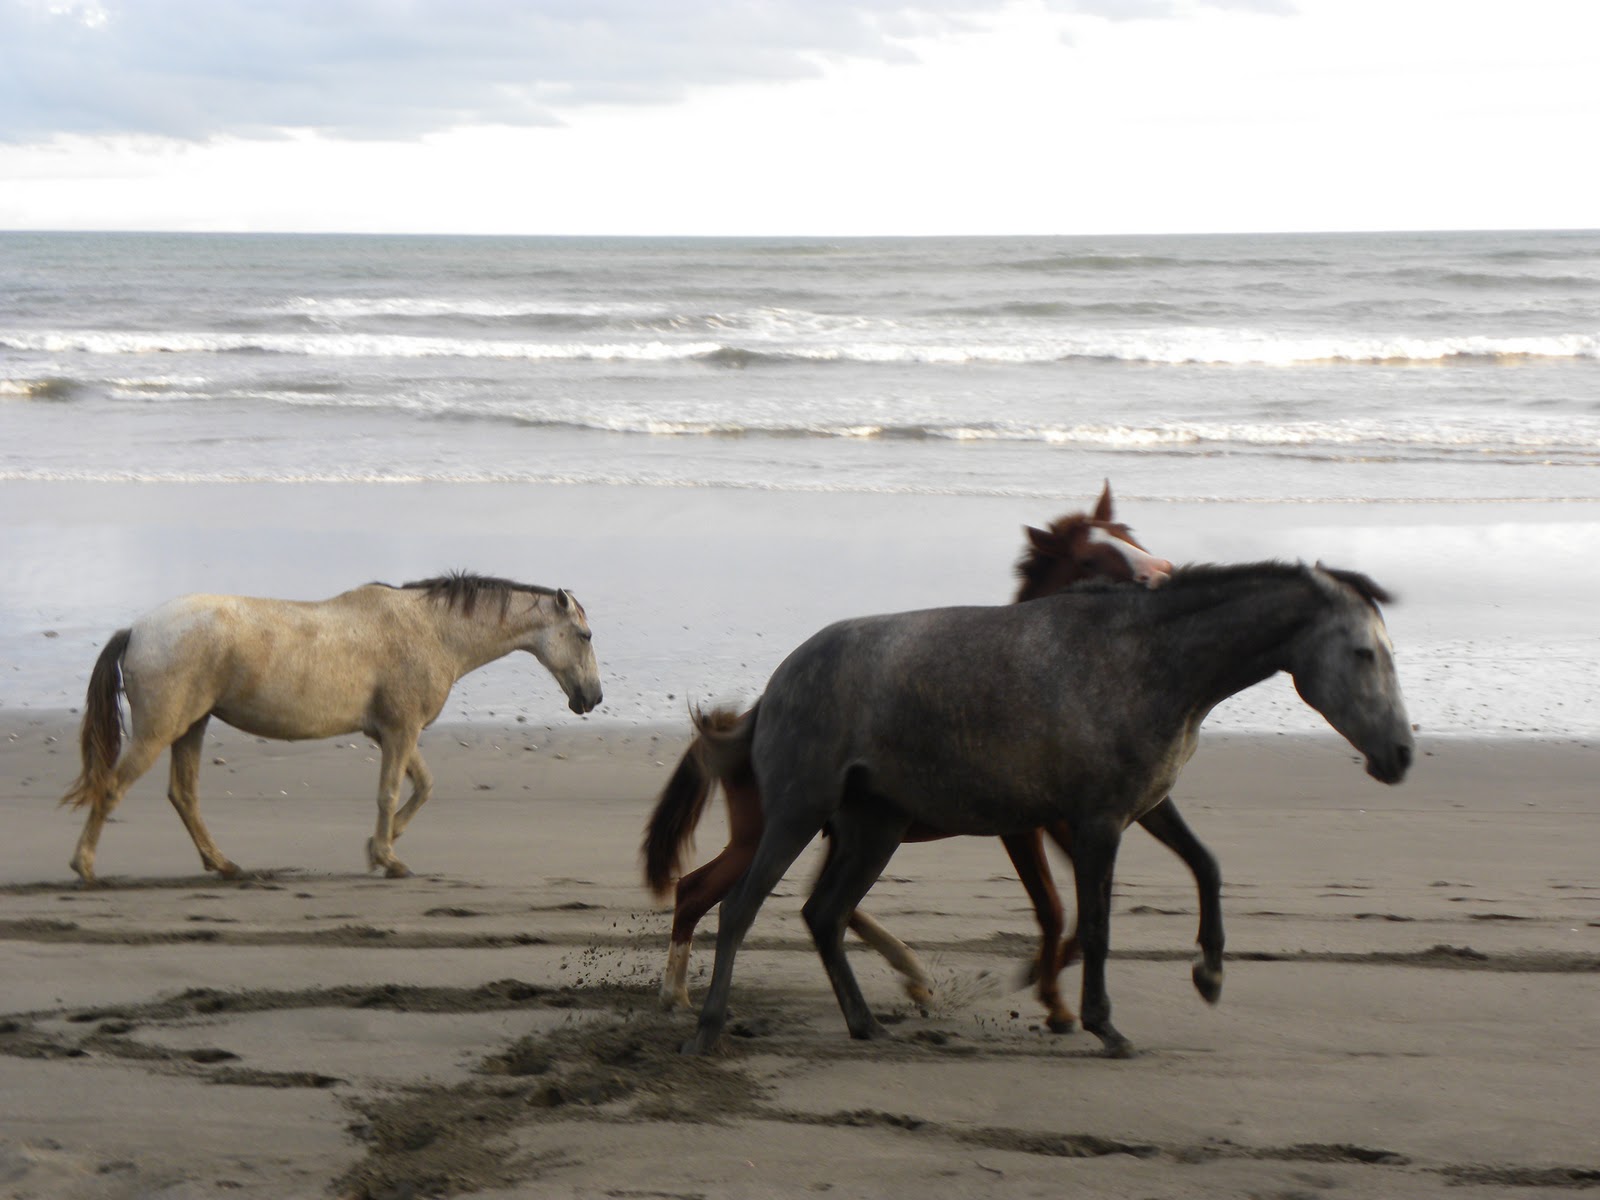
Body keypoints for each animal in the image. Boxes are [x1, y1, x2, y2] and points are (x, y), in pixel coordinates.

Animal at [59, 572, 603, 884]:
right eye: (584, 634)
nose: (593, 698)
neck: (431, 630)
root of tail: (137, 630)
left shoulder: (390, 731)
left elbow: (423, 787)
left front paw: (378, 849)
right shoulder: (400, 730)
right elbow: (389, 793)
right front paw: (388, 858)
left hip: (191, 727)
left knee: (184, 796)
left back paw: (224, 865)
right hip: (159, 731)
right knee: (112, 788)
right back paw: (85, 866)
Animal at [644, 482, 1214, 1032]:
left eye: (1126, 533)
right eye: (1093, 558)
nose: (1163, 572)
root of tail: (750, 720)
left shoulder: (1068, 817)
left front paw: (1052, 987)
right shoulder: (1025, 827)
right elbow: (1053, 908)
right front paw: (1050, 997)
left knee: (801, 900)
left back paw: (910, 977)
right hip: (773, 827)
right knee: (700, 891)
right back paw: (677, 996)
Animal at [680, 562, 1413, 1058]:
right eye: (1362, 652)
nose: (1402, 754)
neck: (1149, 661)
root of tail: (777, 683)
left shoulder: (1145, 806)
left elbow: (1207, 867)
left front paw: (1209, 972)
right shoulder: (1097, 825)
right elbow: (1095, 925)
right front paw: (1103, 1024)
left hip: (874, 829)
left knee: (824, 916)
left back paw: (864, 1023)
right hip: (799, 815)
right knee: (740, 908)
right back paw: (709, 1026)